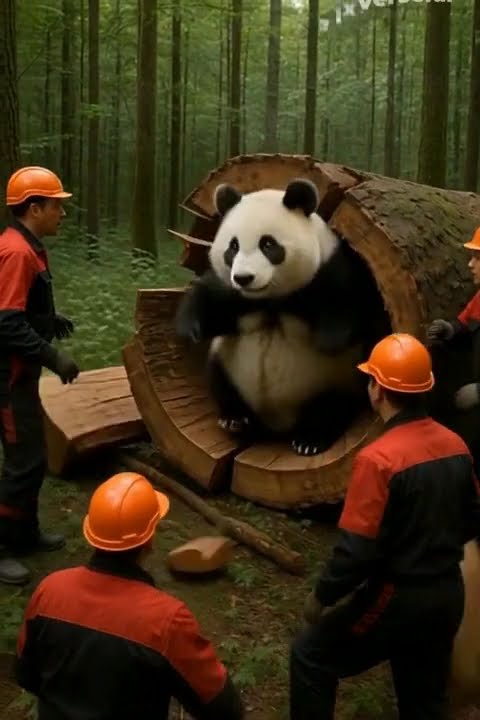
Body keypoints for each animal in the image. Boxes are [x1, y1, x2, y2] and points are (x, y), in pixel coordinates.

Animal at [176, 178, 388, 456]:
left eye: (268, 244)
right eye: (233, 246)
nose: (244, 277)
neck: (271, 300)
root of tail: (277, 424)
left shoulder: (330, 271)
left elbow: (355, 305)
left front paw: (329, 340)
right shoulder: (235, 295)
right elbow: (210, 296)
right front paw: (191, 330)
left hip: (335, 379)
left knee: (334, 406)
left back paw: (311, 438)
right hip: (227, 364)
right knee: (220, 379)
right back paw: (235, 418)